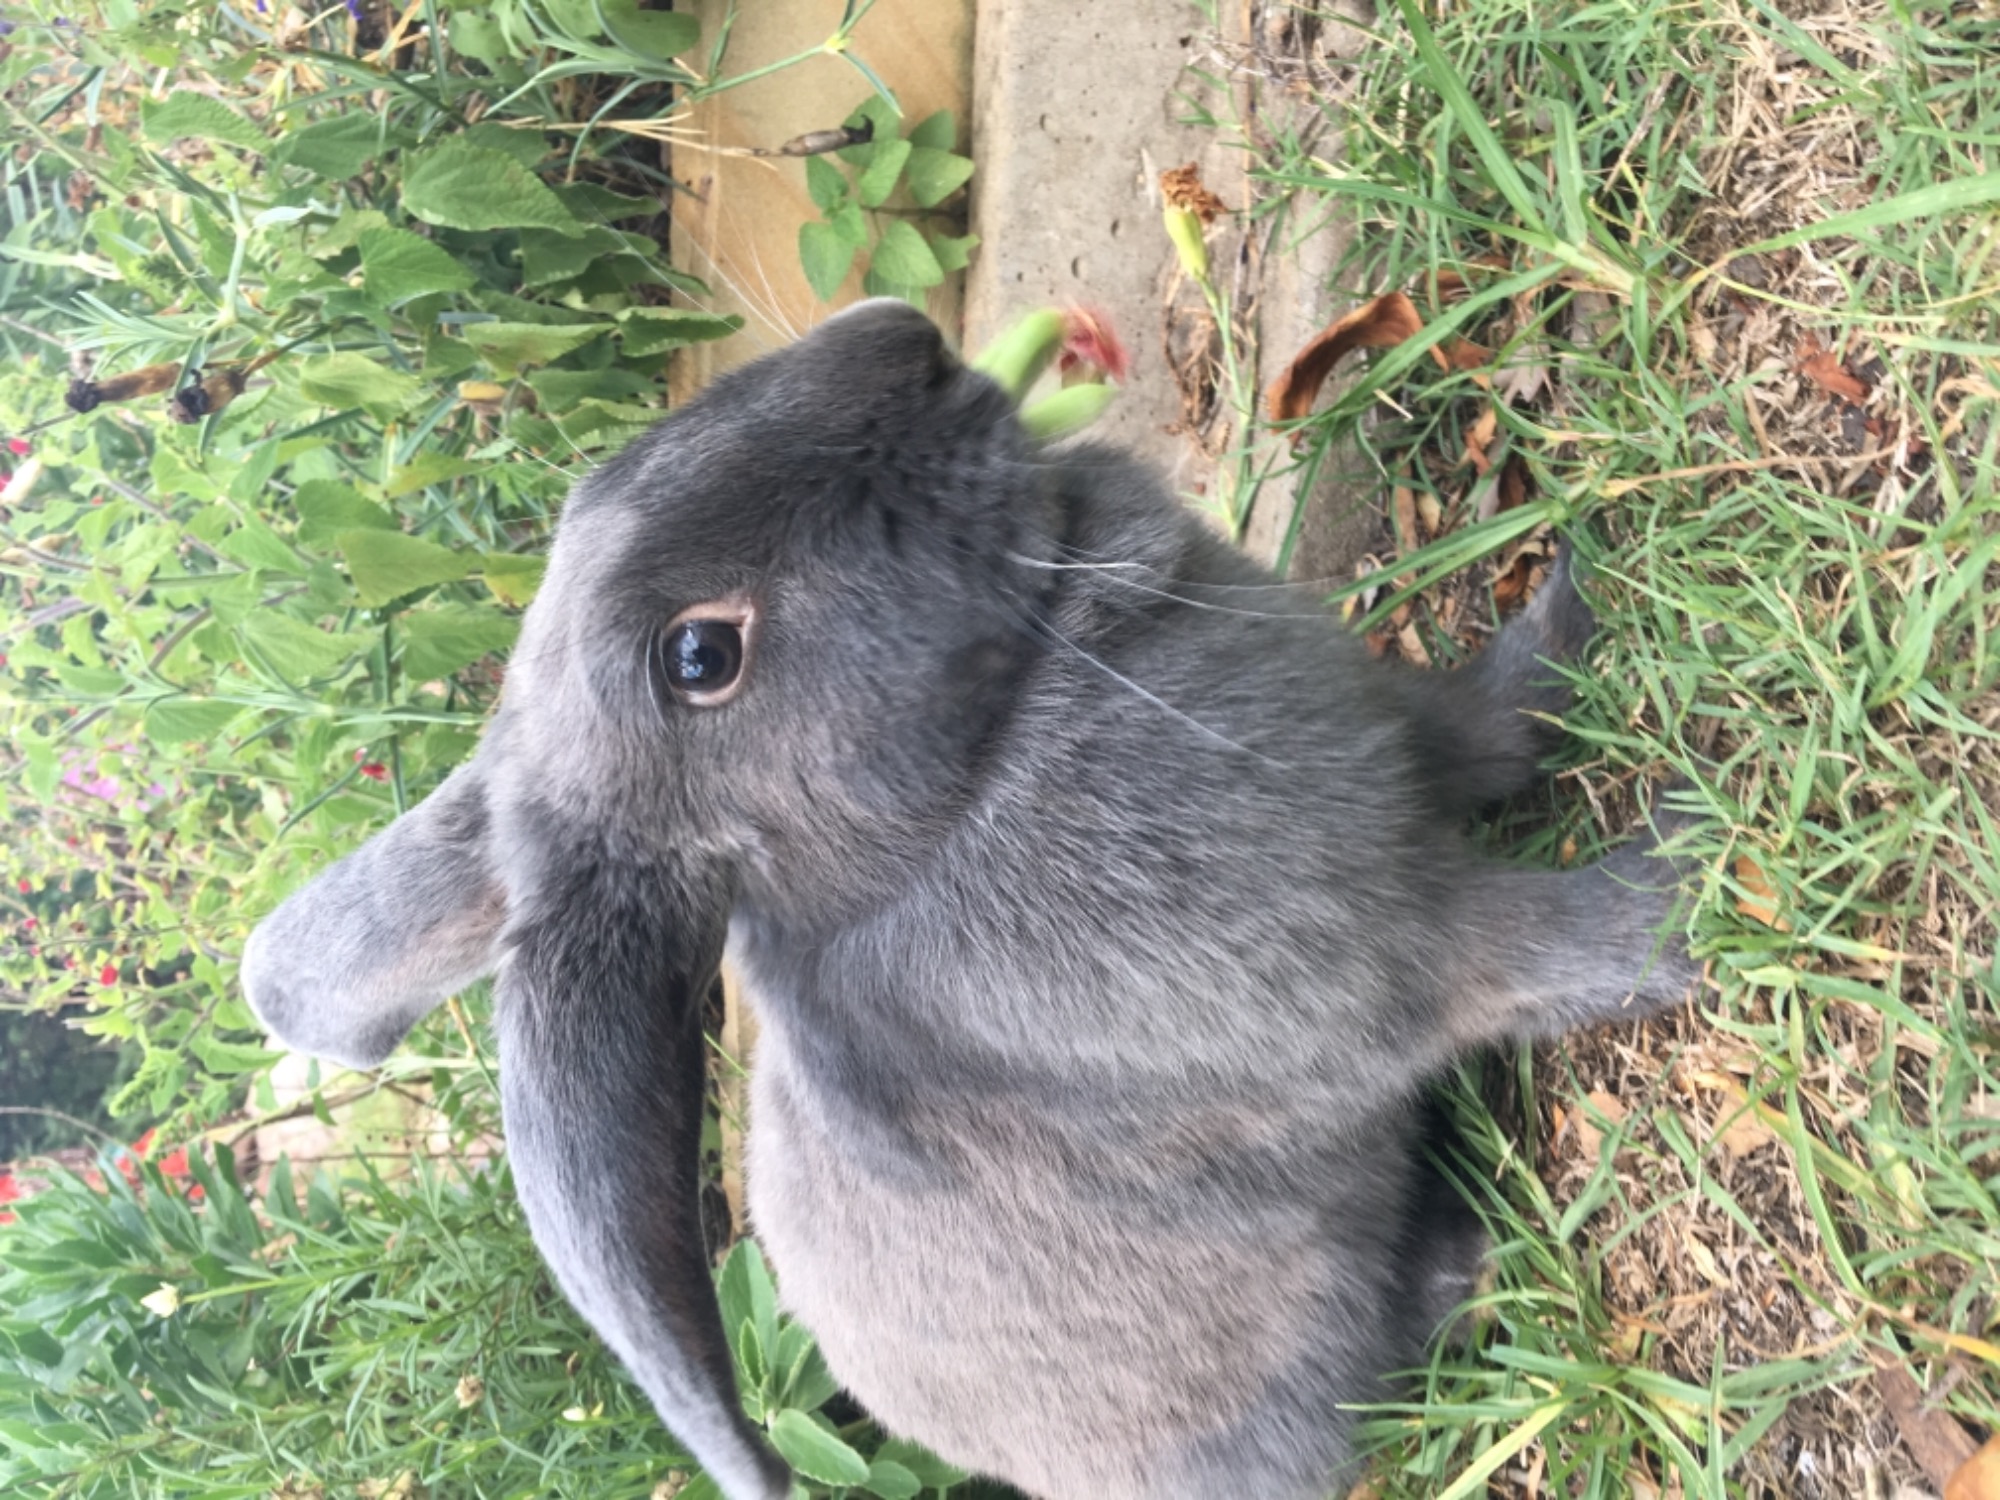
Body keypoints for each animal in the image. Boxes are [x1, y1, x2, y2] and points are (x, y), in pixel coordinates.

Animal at [240, 298, 1699, 1500]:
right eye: (699, 657)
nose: (900, 341)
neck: (966, 788)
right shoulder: (1392, 958)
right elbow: (1543, 948)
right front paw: (1696, 876)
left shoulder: (1402, 738)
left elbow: (1484, 725)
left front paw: (1570, 611)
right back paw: (1464, 1263)